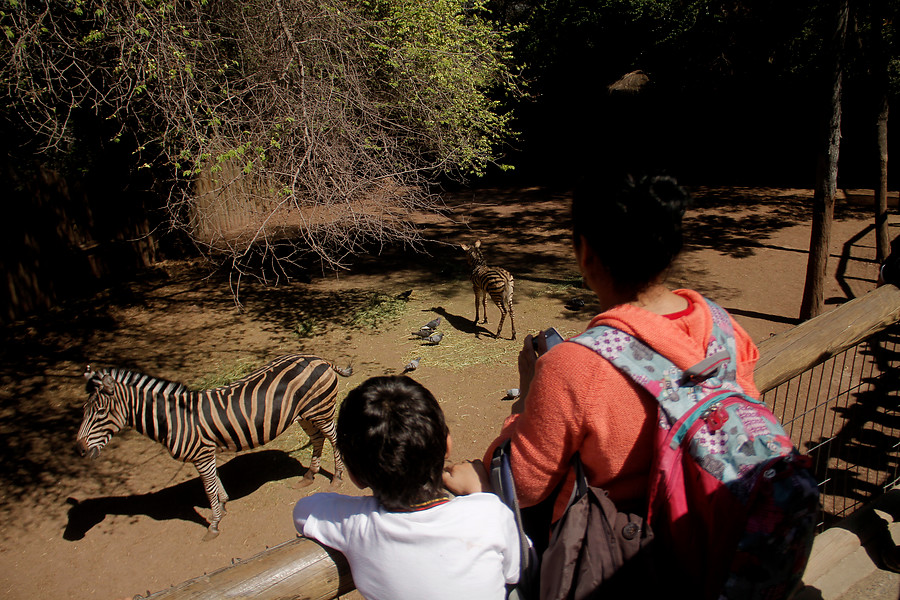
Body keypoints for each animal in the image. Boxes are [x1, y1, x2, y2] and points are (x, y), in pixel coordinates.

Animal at [75, 354, 351, 539]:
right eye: (84, 411)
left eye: (100, 412)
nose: (79, 450)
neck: (174, 419)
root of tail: (321, 359)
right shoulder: (207, 454)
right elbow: (214, 481)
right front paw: (224, 505)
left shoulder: (202, 454)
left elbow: (207, 488)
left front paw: (215, 523)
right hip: (305, 414)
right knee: (317, 439)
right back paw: (309, 475)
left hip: (320, 410)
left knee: (332, 438)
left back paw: (337, 477)